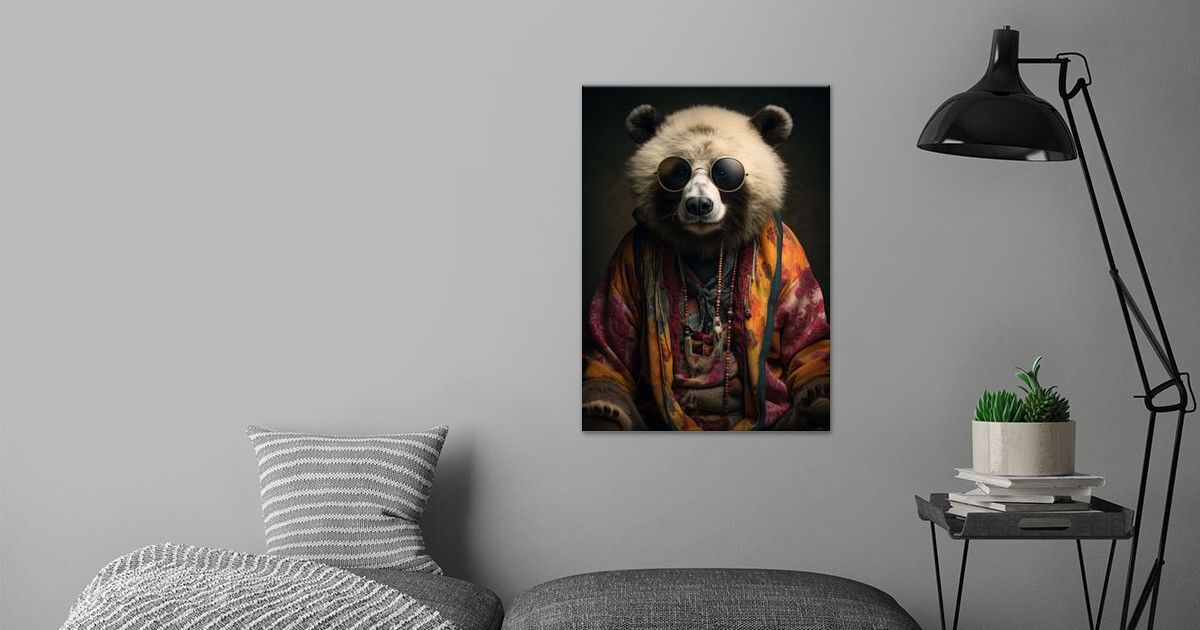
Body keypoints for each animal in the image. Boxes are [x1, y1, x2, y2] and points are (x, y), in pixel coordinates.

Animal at [582, 103, 831, 431]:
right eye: (677, 172)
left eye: (725, 173)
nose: (699, 205)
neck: (705, 242)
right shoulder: (625, 260)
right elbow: (611, 353)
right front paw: (603, 408)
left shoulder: (790, 253)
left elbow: (805, 343)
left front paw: (818, 391)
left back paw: (815, 406)